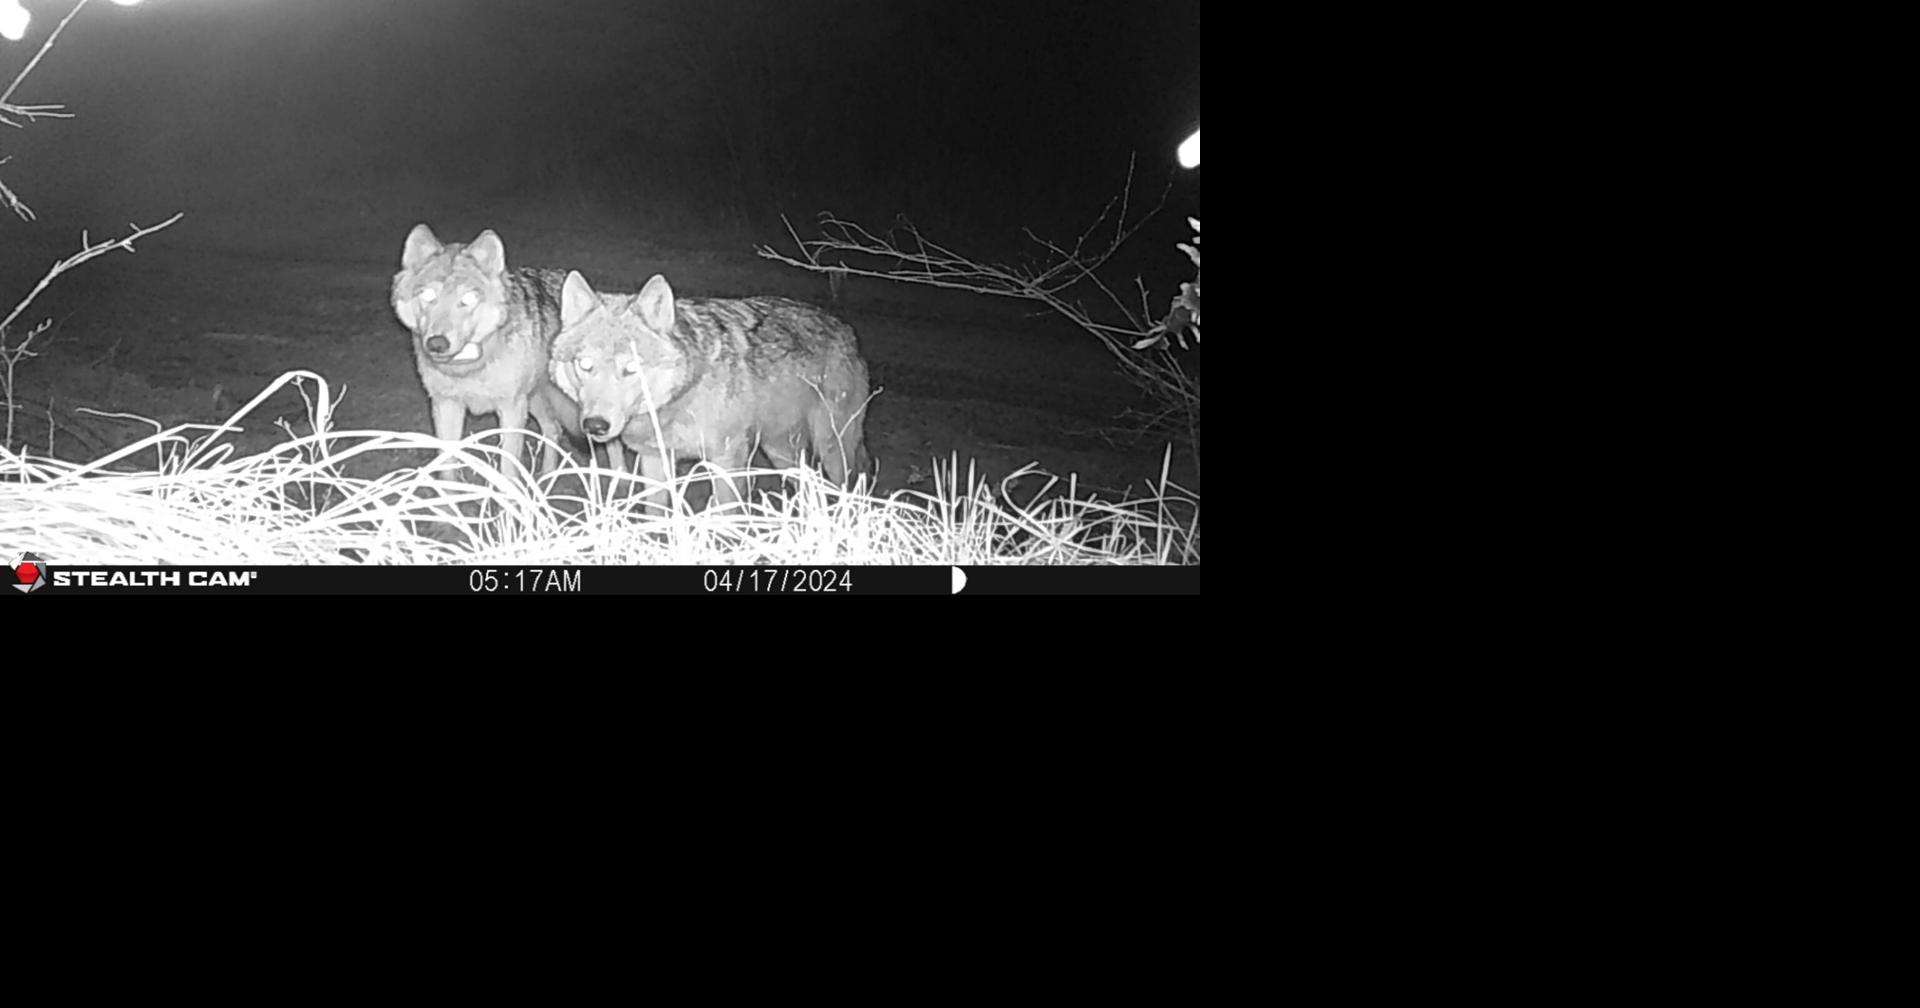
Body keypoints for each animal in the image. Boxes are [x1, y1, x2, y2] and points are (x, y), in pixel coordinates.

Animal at [390, 224, 579, 475]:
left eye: (468, 298)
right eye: (428, 295)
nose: (437, 343)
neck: (468, 367)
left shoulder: (511, 410)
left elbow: (507, 469)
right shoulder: (445, 406)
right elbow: (447, 466)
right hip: (534, 400)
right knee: (553, 429)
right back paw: (547, 476)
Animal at [547, 271, 872, 507]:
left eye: (631, 368)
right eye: (584, 365)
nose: (595, 425)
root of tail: (845, 329)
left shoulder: (727, 459)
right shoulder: (654, 460)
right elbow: (657, 515)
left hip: (831, 448)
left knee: (850, 487)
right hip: (780, 452)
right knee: (812, 489)